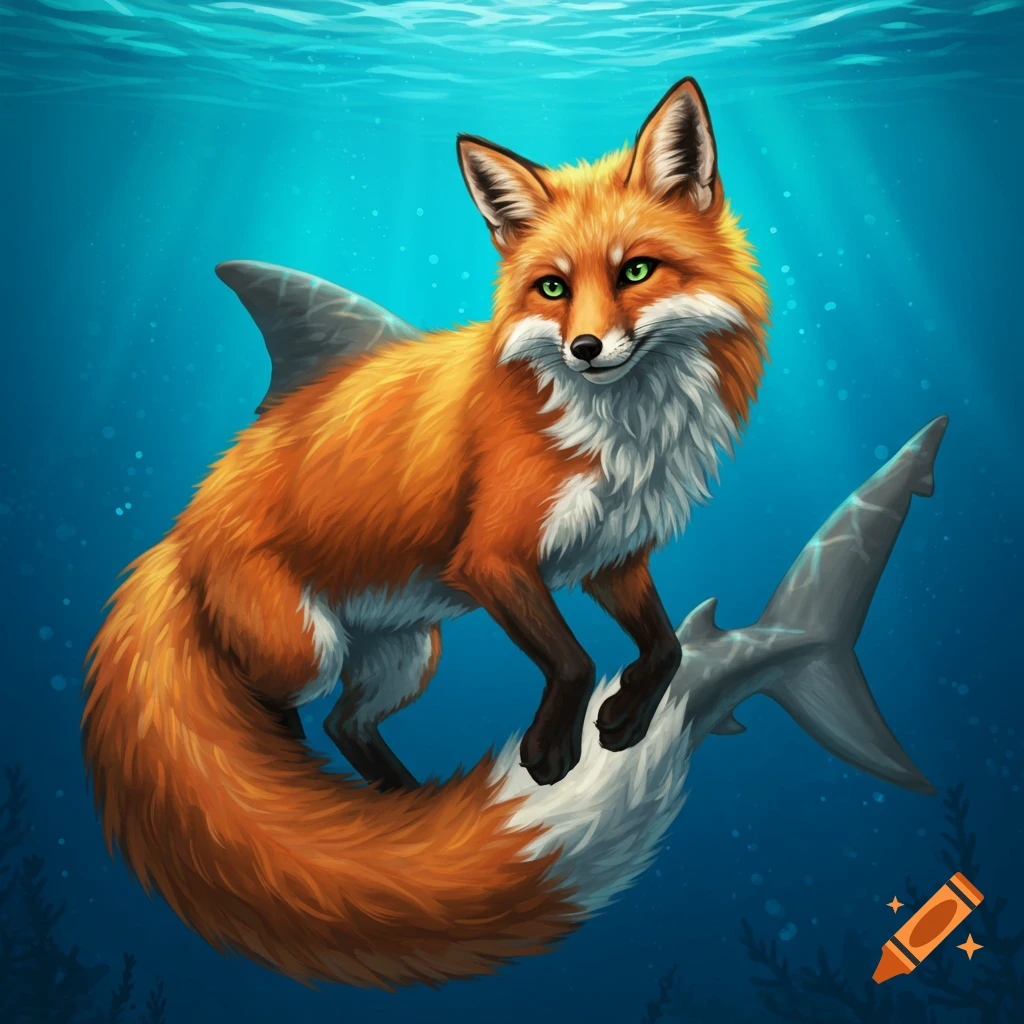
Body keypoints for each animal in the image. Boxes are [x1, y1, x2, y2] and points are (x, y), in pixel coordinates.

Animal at [82, 78, 771, 988]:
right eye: (552, 289)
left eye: (637, 271)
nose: (586, 349)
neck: (621, 429)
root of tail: (178, 533)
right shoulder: (494, 559)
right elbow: (571, 658)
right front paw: (552, 753)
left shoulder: (612, 556)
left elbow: (662, 648)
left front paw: (624, 718)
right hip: (304, 650)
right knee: (271, 716)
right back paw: (308, 801)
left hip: (408, 654)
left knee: (347, 726)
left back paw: (397, 811)